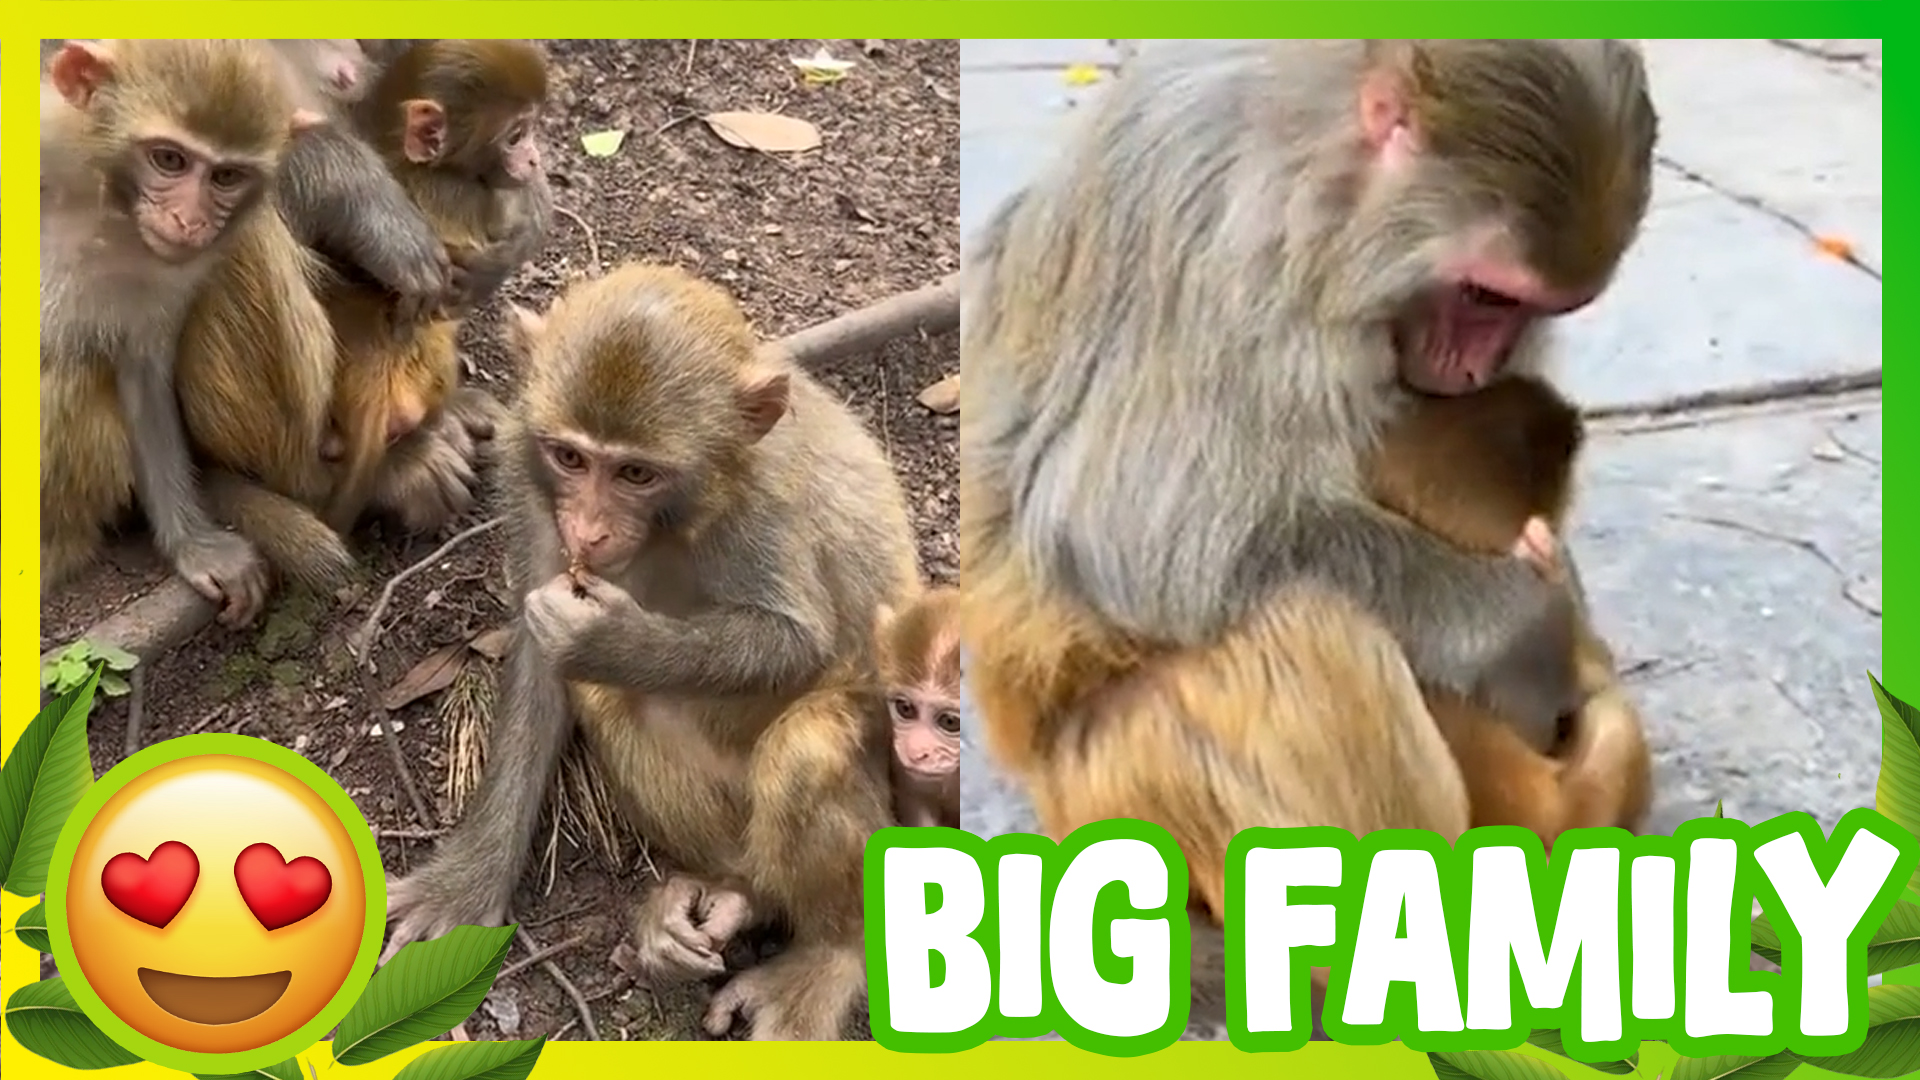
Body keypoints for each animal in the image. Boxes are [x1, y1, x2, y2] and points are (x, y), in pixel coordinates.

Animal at [39, 39, 318, 625]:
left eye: (226, 177)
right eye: (169, 159)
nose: (190, 222)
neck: (108, 206)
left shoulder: (174, 275)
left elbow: (143, 378)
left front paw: (195, 547)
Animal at [383, 264, 921, 1041]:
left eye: (636, 474)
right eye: (570, 458)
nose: (589, 529)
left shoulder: (761, 503)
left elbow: (796, 641)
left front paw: (605, 637)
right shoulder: (527, 481)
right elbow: (543, 666)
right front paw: (467, 880)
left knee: (806, 747)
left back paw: (828, 955)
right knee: (609, 698)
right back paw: (735, 897)